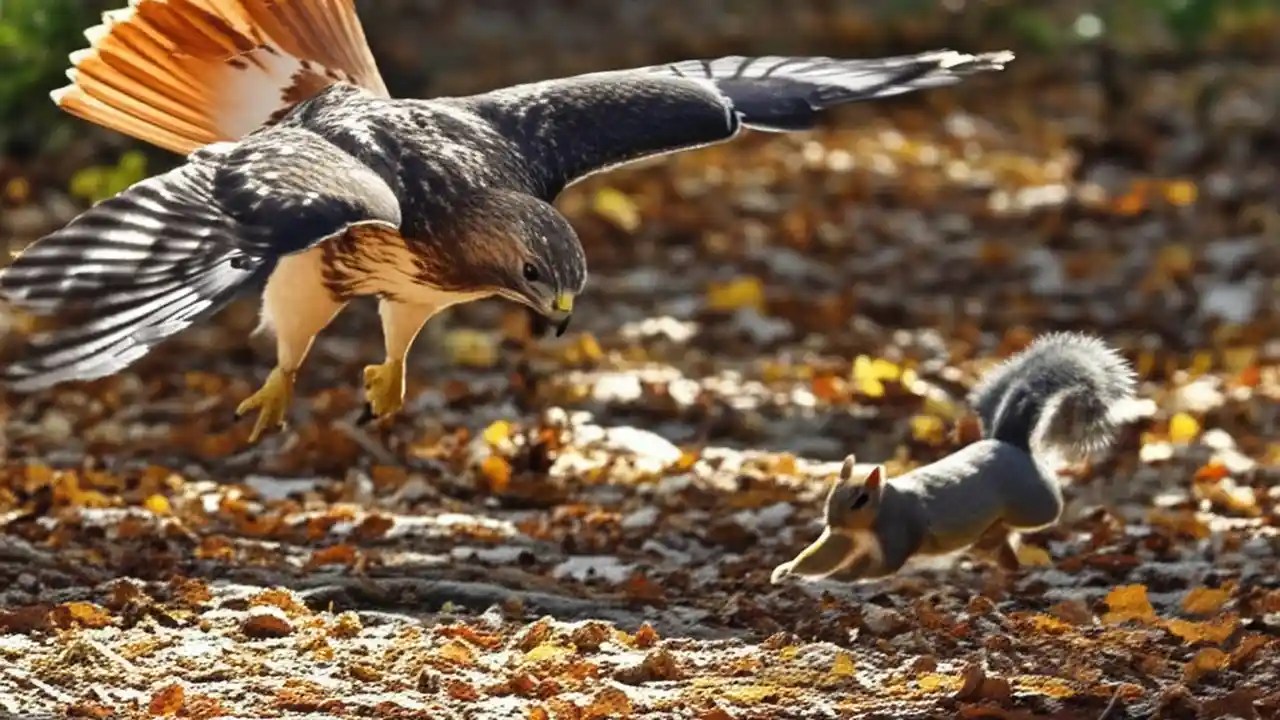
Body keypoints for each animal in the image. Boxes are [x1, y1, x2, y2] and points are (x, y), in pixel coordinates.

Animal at [771, 332, 1137, 584]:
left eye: (861, 499)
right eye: (832, 495)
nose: (832, 522)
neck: (879, 510)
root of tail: (1011, 444)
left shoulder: (897, 530)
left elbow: (879, 565)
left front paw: (840, 577)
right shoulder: (843, 538)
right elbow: (821, 555)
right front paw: (786, 570)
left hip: (1034, 503)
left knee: (1048, 511)